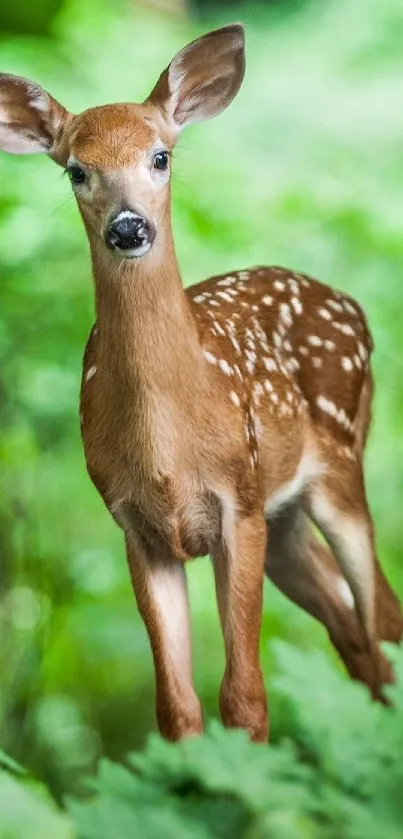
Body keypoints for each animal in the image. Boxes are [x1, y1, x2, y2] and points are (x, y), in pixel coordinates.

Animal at [1, 23, 402, 744]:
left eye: (161, 156)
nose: (128, 227)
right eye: (76, 169)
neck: (168, 446)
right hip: (285, 518)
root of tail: (349, 303)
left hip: (338, 469)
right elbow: (177, 709)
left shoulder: (237, 503)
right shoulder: (136, 526)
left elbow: (244, 698)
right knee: (355, 634)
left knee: (382, 616)